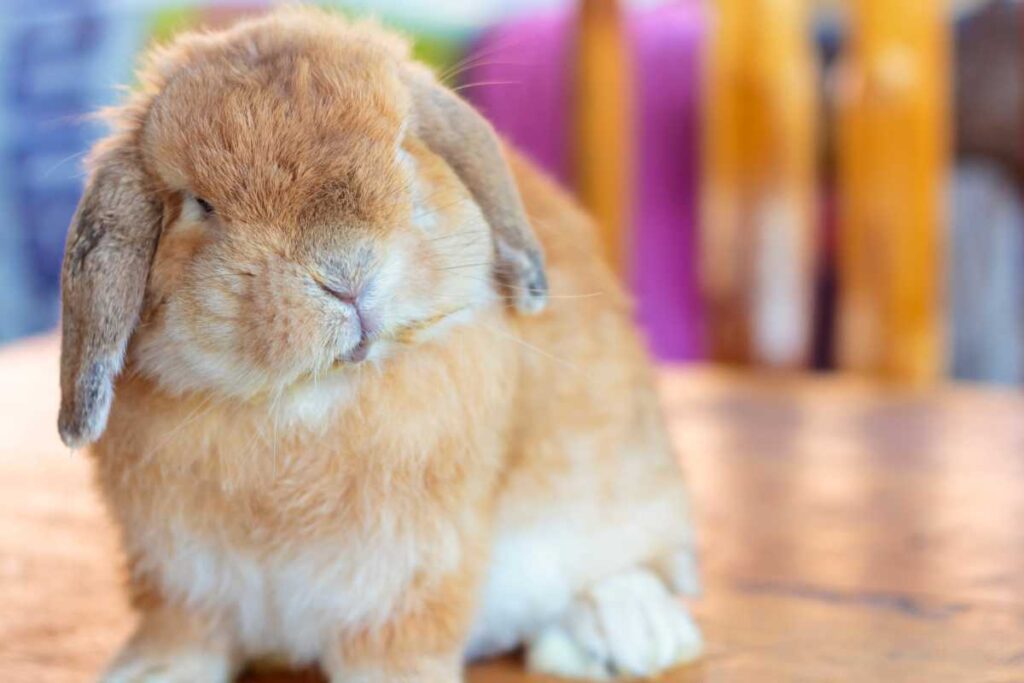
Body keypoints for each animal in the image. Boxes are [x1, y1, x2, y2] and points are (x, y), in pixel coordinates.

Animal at [57, 7, 701, 682]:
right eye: (200, 204)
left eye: (402, 147)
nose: (346, 272)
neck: (303, 398)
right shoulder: (178, 575)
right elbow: (181, 635)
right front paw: (146, 672)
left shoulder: (407, 578)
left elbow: (396, 647)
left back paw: (629, 631)